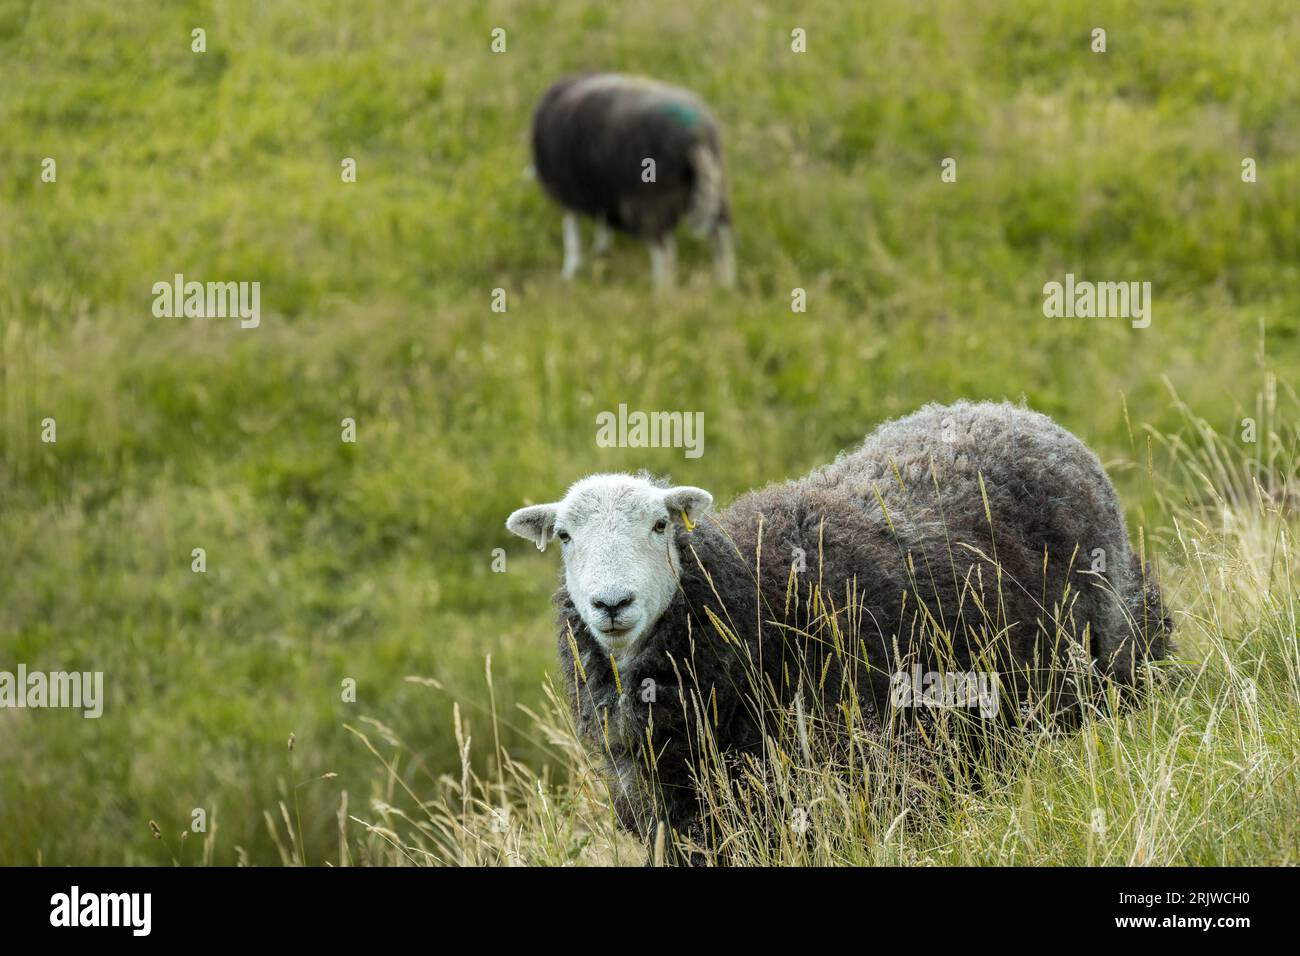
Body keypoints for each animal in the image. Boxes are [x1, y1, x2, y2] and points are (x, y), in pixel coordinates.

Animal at [505, 401, 1172, 856]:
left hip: (1113, 650)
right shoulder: (678, 812)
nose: (610, 604)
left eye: (660, 526)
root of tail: (1016, 411)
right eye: (564, 536)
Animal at [530, 73, 735, 290]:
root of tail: (696, 135)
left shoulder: (569, 193)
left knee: (665, 251)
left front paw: (570, 271)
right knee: (723, 240)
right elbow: (601, 224)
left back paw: (662, 291)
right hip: (717, 192)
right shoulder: (600, 193)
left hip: (652, 201)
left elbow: (572, 235)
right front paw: (601, 250)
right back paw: (726, 286)